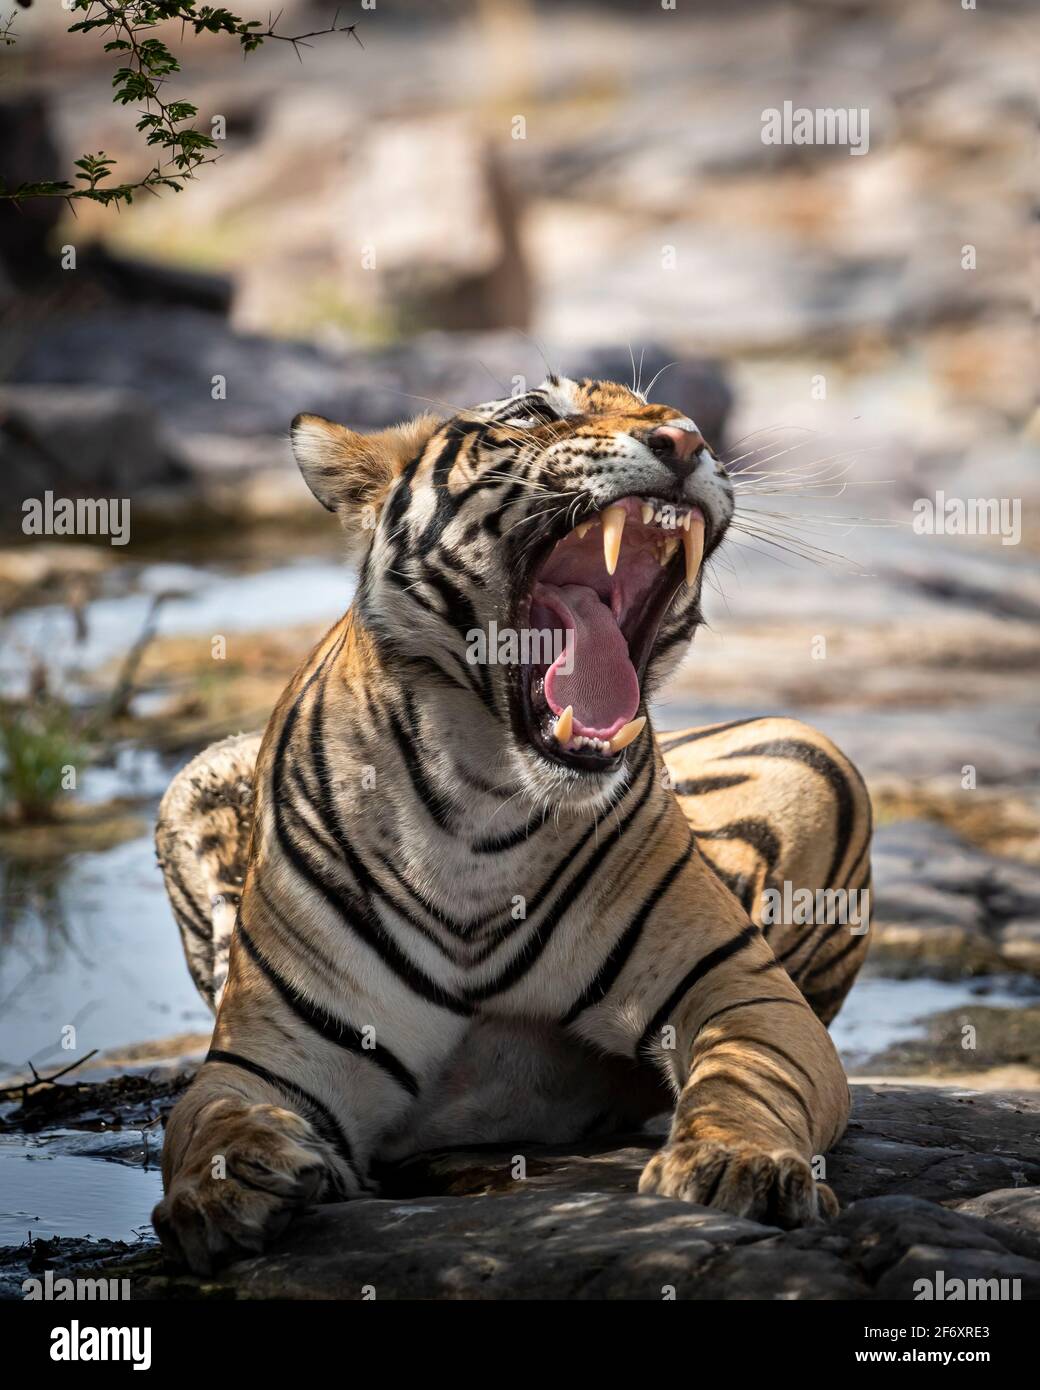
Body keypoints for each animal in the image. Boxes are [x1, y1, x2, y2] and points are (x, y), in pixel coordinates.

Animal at [152, 375, 872, 1274]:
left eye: (675, 419)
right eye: (536, 412)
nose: (685, 441)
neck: (478, 801)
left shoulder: (738, 989)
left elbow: (747, 1078)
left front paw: (738, 1162)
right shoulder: (267, 1056)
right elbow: (204, 1120)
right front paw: (224, 1189)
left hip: (816, 759)